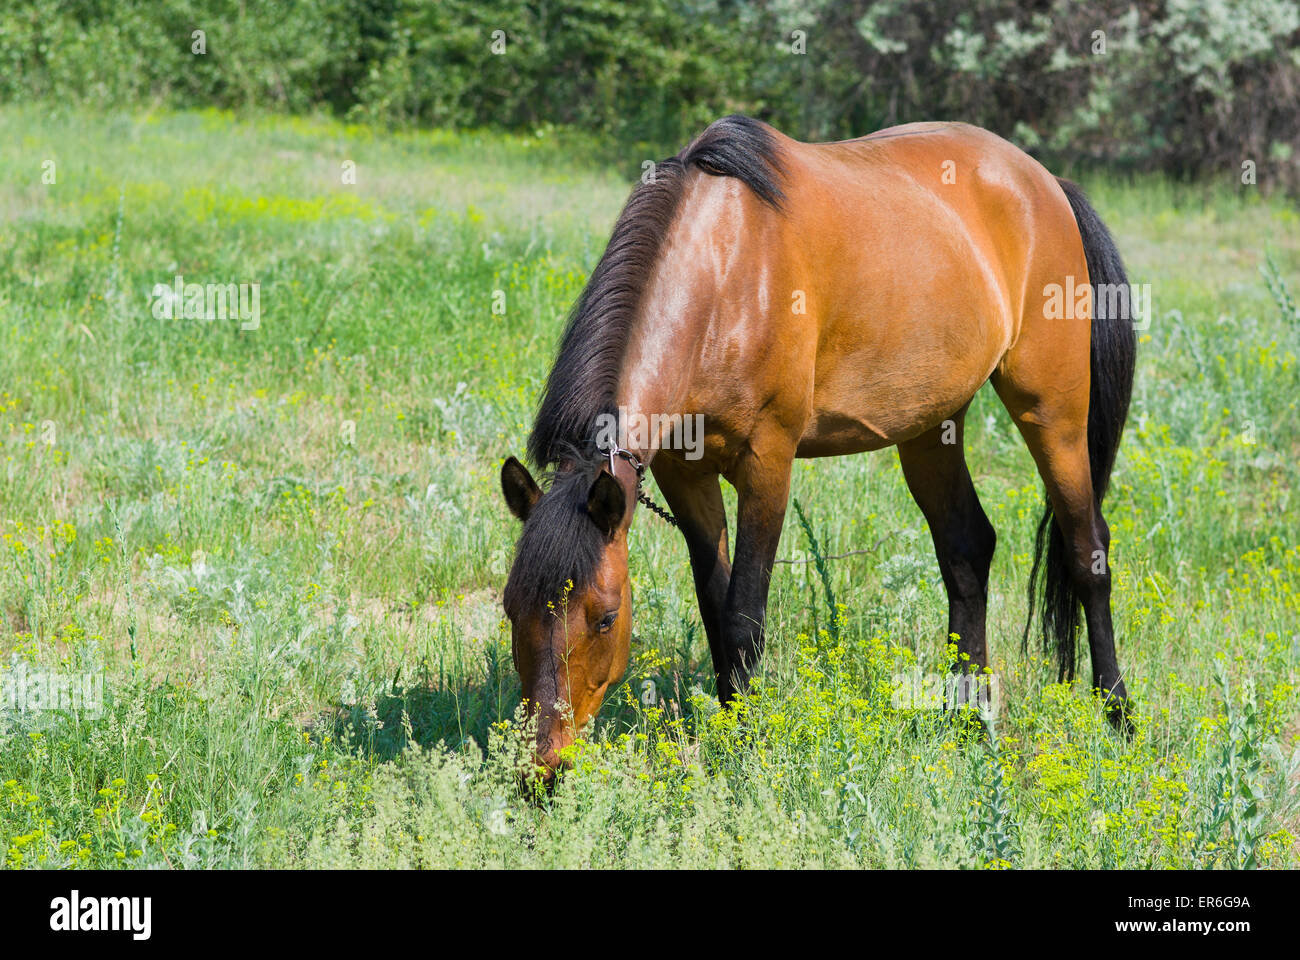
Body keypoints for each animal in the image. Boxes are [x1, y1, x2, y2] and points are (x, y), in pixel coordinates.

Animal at [499, 115, 1136, 781]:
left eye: (604, 617)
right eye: (512, 609)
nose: (539, 769)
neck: (725, 272)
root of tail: (1046, 184)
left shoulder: (767, 465)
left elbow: (744, 615)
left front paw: (748, 749)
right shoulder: (685, 475)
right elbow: (715, 609)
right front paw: (732, 725)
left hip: (1052, 413)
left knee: (1087, 551)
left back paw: (1117, 715)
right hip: (932, 426)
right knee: (967, 550)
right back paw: (968, 717)